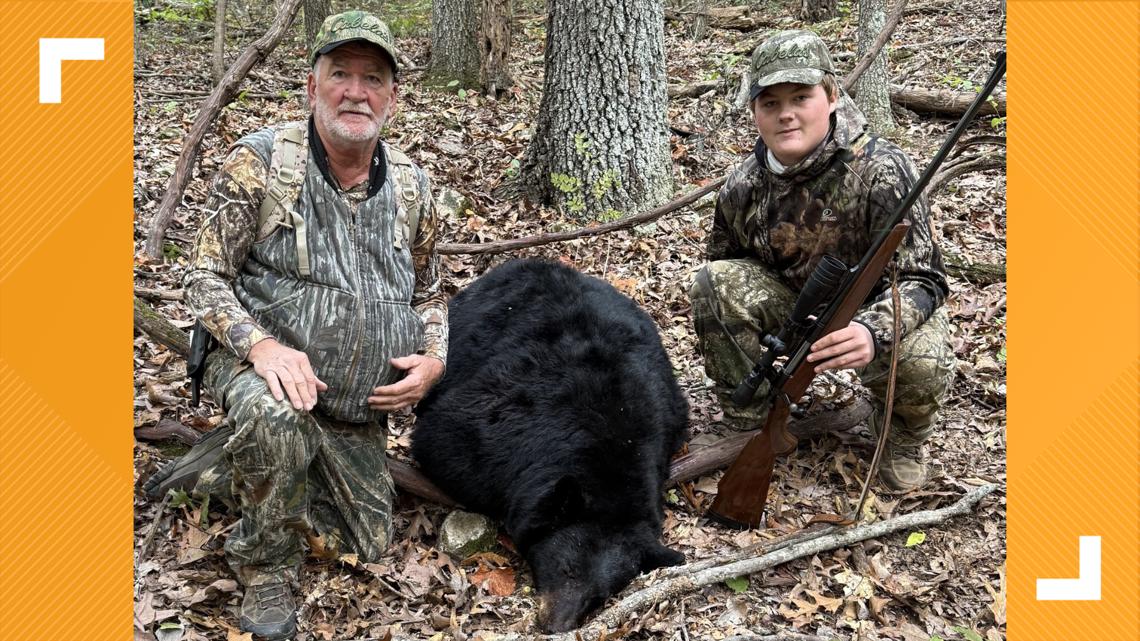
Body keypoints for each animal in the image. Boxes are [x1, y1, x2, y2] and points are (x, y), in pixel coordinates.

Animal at [412, 258, 689, 632]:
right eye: (566, 569)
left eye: (599, 596)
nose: (556, 625)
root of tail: (536, 262)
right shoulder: (497, 424)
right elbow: (442, 441)